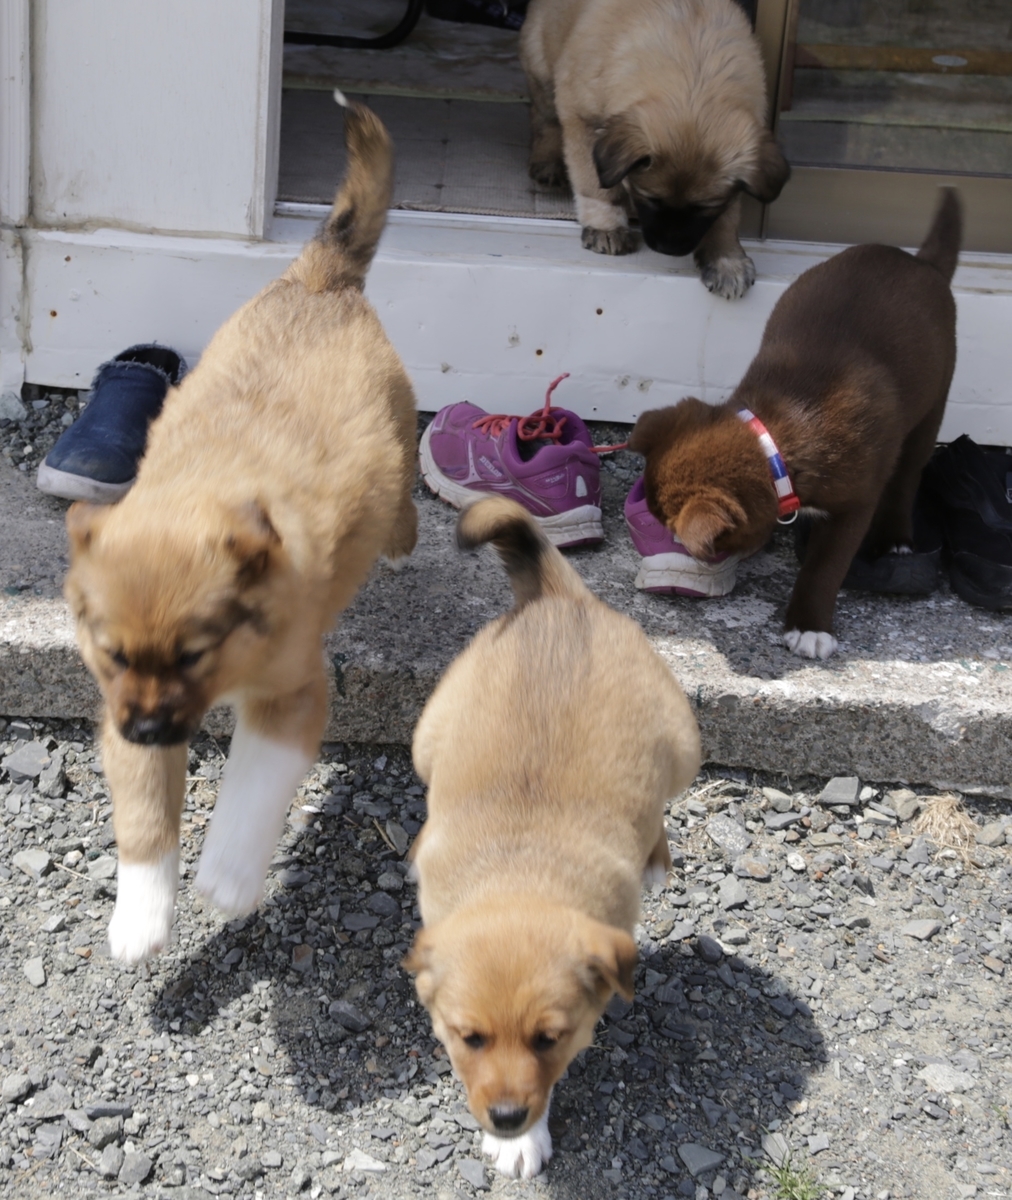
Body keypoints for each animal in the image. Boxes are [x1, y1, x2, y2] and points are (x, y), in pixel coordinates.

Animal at [64, 96, 420, 964]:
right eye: (113, 653)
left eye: (195, 652)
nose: (149, 730)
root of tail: (323, 278)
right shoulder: (121, 709)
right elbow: (143, 813)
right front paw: (141, 916)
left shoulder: (292, 696)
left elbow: (254, 787)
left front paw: (227, 878)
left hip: (400, 421)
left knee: (406, 487)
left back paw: (400, 542)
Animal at [408, 496, 701, 1180]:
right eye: (469, 1038)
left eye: (549, 1039)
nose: (506, 1118)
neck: (519, 874)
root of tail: (562, 601)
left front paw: (522, 1140)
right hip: (424, 742)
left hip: (684, 750)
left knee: (662, 807)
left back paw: (657, 859)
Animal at [523, 0, 792, 297]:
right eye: (650, 198)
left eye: (703, 207)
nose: (669, 250)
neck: (693, 72)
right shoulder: (582, 120)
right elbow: (596, 186)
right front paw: (606, 226)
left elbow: (727, 215)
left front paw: (726, 258)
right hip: (542, 69)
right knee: (543, 119)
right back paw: (547, 163)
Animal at [629, 189, 960, 657]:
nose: (679, 553)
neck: (774, 443)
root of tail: (922, 263)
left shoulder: (855, 503)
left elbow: (825, 567)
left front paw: (809, 626)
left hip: (934, 401)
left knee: (908, 473)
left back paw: (896, 537)